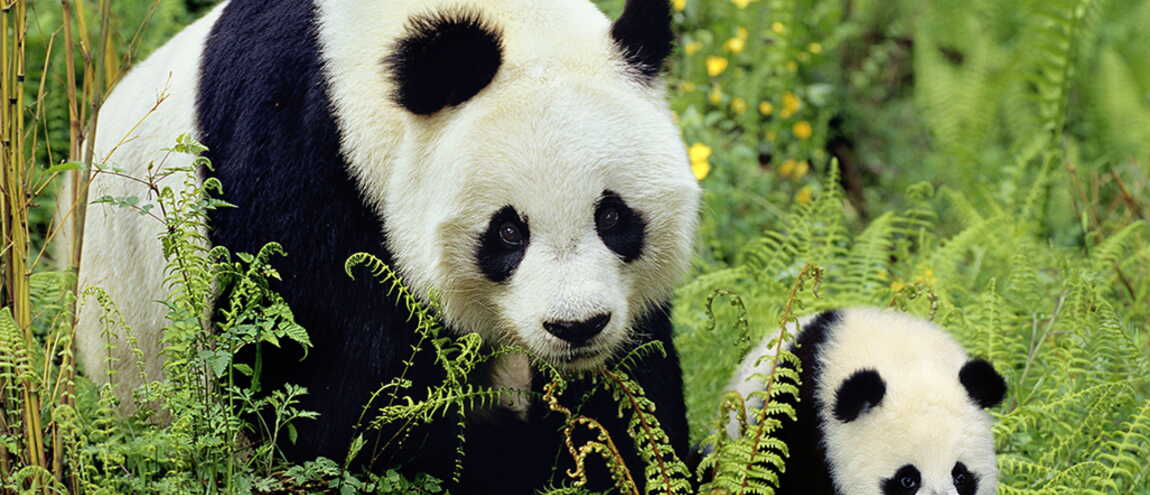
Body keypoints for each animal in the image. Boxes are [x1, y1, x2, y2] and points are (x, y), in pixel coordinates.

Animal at [70, 0, 698, 492]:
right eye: (508, 232)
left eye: (612, 215)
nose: (576, 326)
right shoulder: (296, 168)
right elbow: (337, 405)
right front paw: (511, 454)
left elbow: (637, 380)